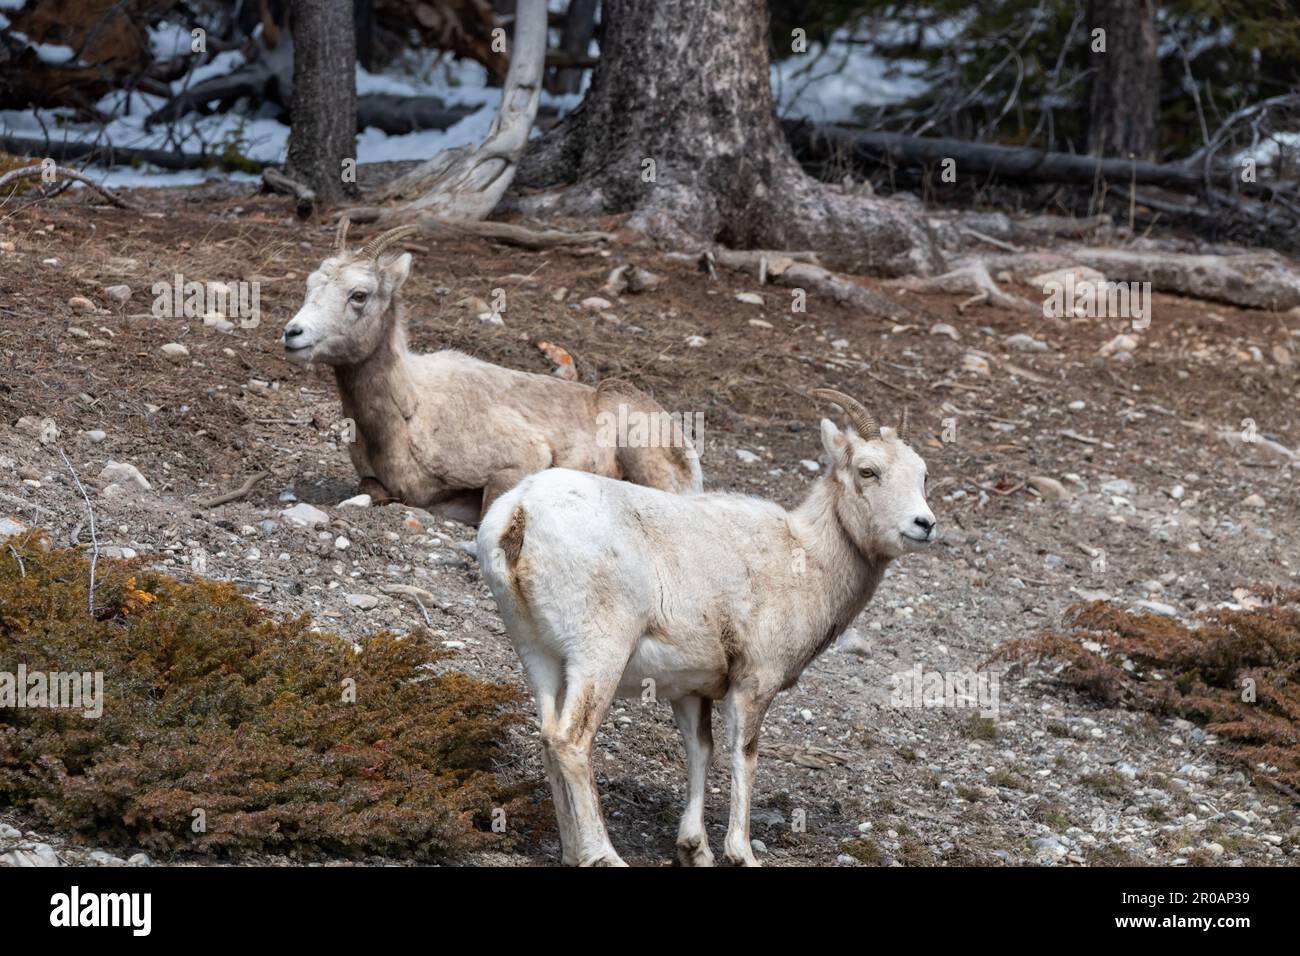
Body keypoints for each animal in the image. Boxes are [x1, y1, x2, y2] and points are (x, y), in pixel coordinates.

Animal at [477, 388, 936, 866]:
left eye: (922, 475)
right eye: (868, 470)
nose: (924, 525)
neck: (806, 558)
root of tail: (520, 511)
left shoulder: (690, 688)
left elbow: (700, 751)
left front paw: (695, 849)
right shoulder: (754, 682)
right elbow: (743, 755)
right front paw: (740, 853)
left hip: (538, 654)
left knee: (549, 738)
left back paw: (573, 853)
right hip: (598, 654)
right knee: (571, 741)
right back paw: (604, 855)